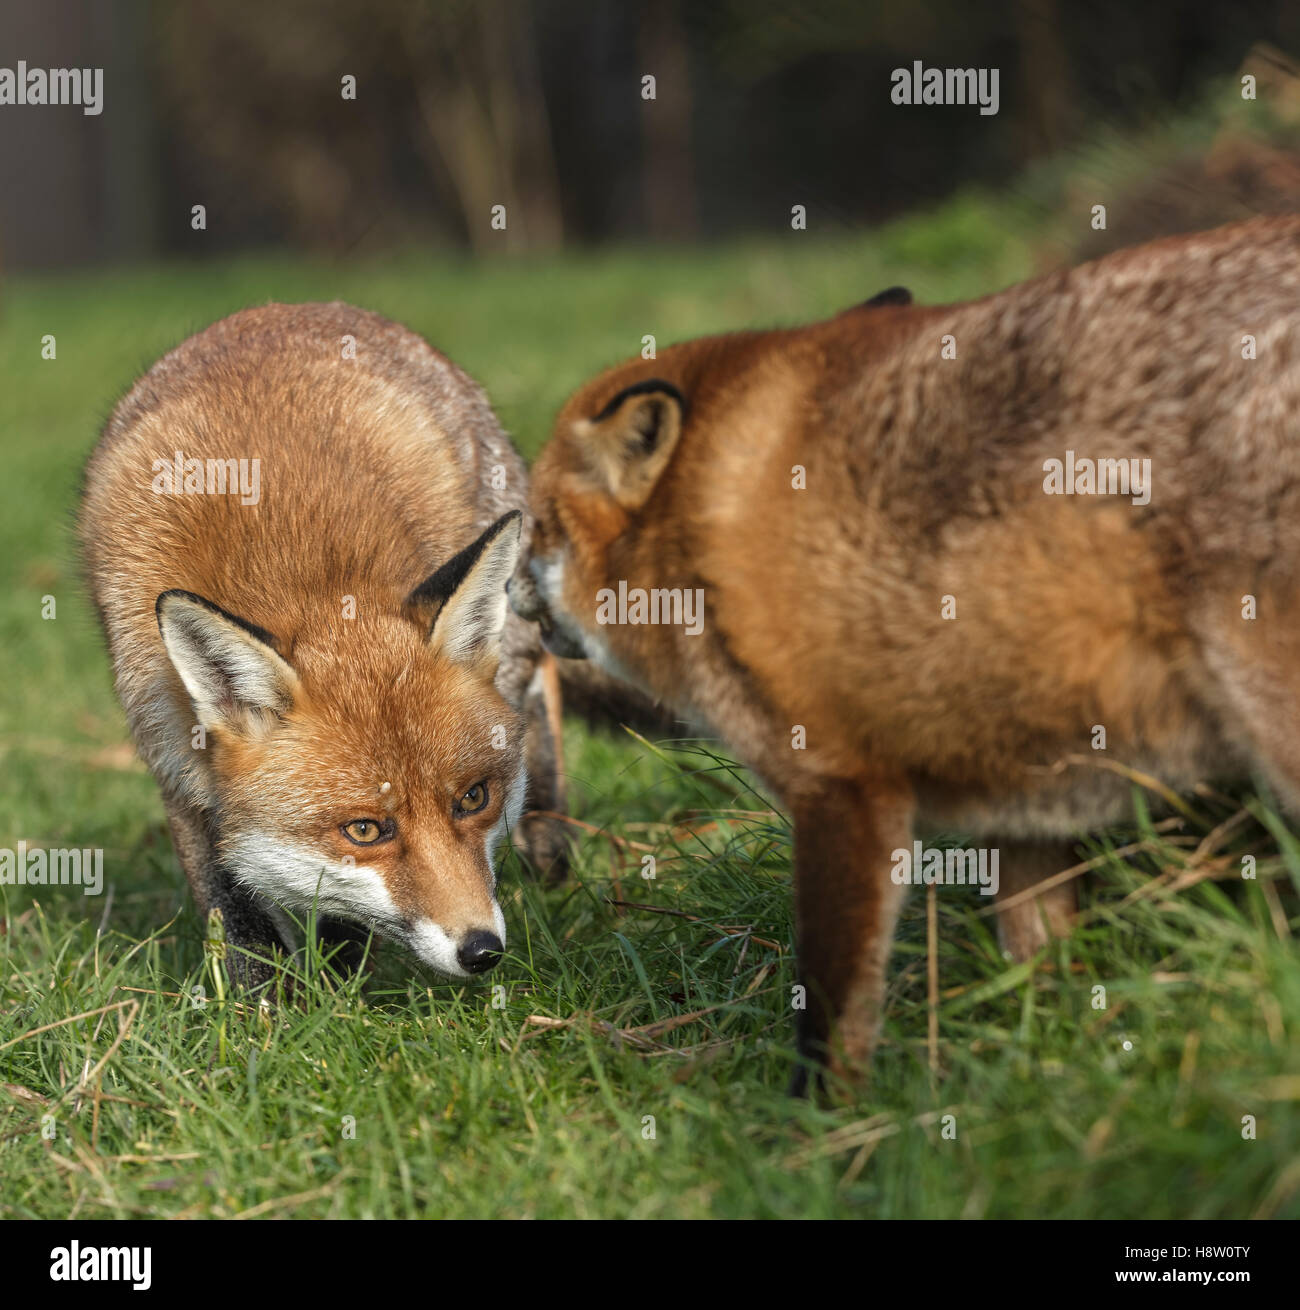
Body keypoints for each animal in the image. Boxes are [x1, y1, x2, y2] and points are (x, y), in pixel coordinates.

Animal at [79, 301, 659, 989]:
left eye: (473, 798)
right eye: (364, 829)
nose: (483, 950)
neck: (294, 571)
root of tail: (289, 308)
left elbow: (334, 912)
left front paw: (337, 990)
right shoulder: (174, 755)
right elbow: (235, 910)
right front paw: (265, 1004)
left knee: (538, 689)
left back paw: (549, 848)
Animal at [508, 214, 1300, 1089]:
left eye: (534, 524)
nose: (499, 586)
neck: (697, 530)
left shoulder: (843, 784)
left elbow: (830, 1014)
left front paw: (816, 1123)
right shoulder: (1023, 796)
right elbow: (1043, 970)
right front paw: (1050, 1071)